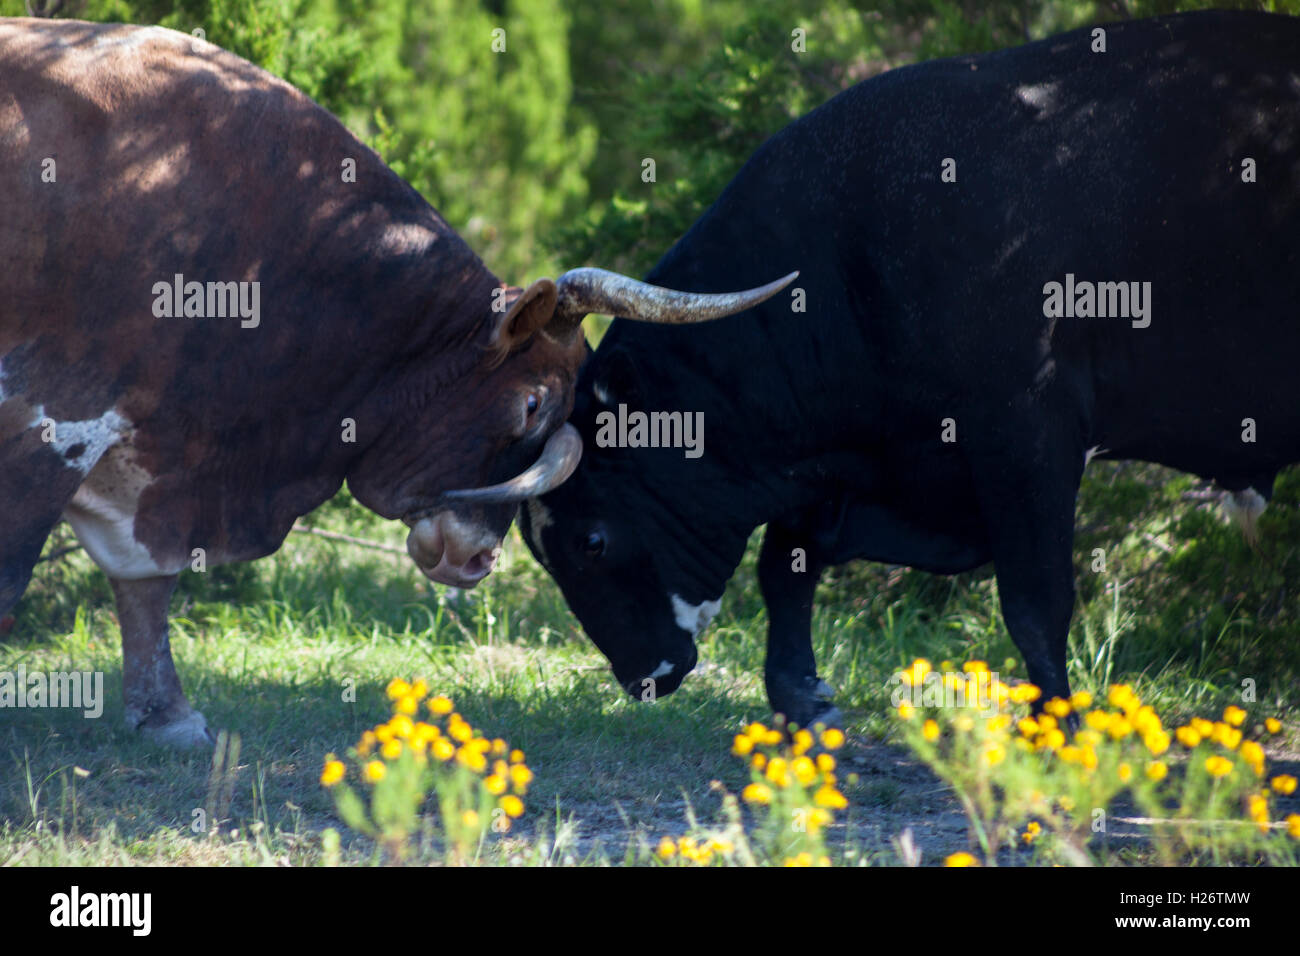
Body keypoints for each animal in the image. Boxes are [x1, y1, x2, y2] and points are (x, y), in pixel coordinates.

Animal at [521, 10, 1300, 730]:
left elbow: (1035, 602)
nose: (642, 676)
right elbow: (785, 562)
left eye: (591, 539)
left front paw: (1058, 734)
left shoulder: (1025, 438)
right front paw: (802, 696)